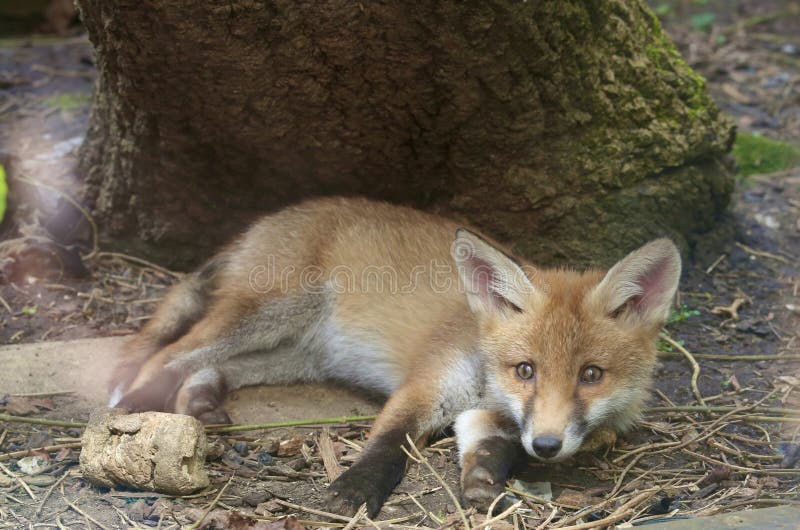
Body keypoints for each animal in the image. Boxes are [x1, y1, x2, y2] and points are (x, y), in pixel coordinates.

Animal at [109, 197, 681, 517]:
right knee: (171, 355)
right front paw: (353, 490)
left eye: (591, 375)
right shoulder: (428, 384)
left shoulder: (490, 415)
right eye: (526, 370)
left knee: (212, 367)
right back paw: (134, 406)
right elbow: (390, 443)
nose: (547, 446)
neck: (486, 380)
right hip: (269, 313)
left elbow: (490, 449)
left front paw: (484, 484)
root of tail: (277, 216)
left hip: (296, 353)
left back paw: (200, 403)